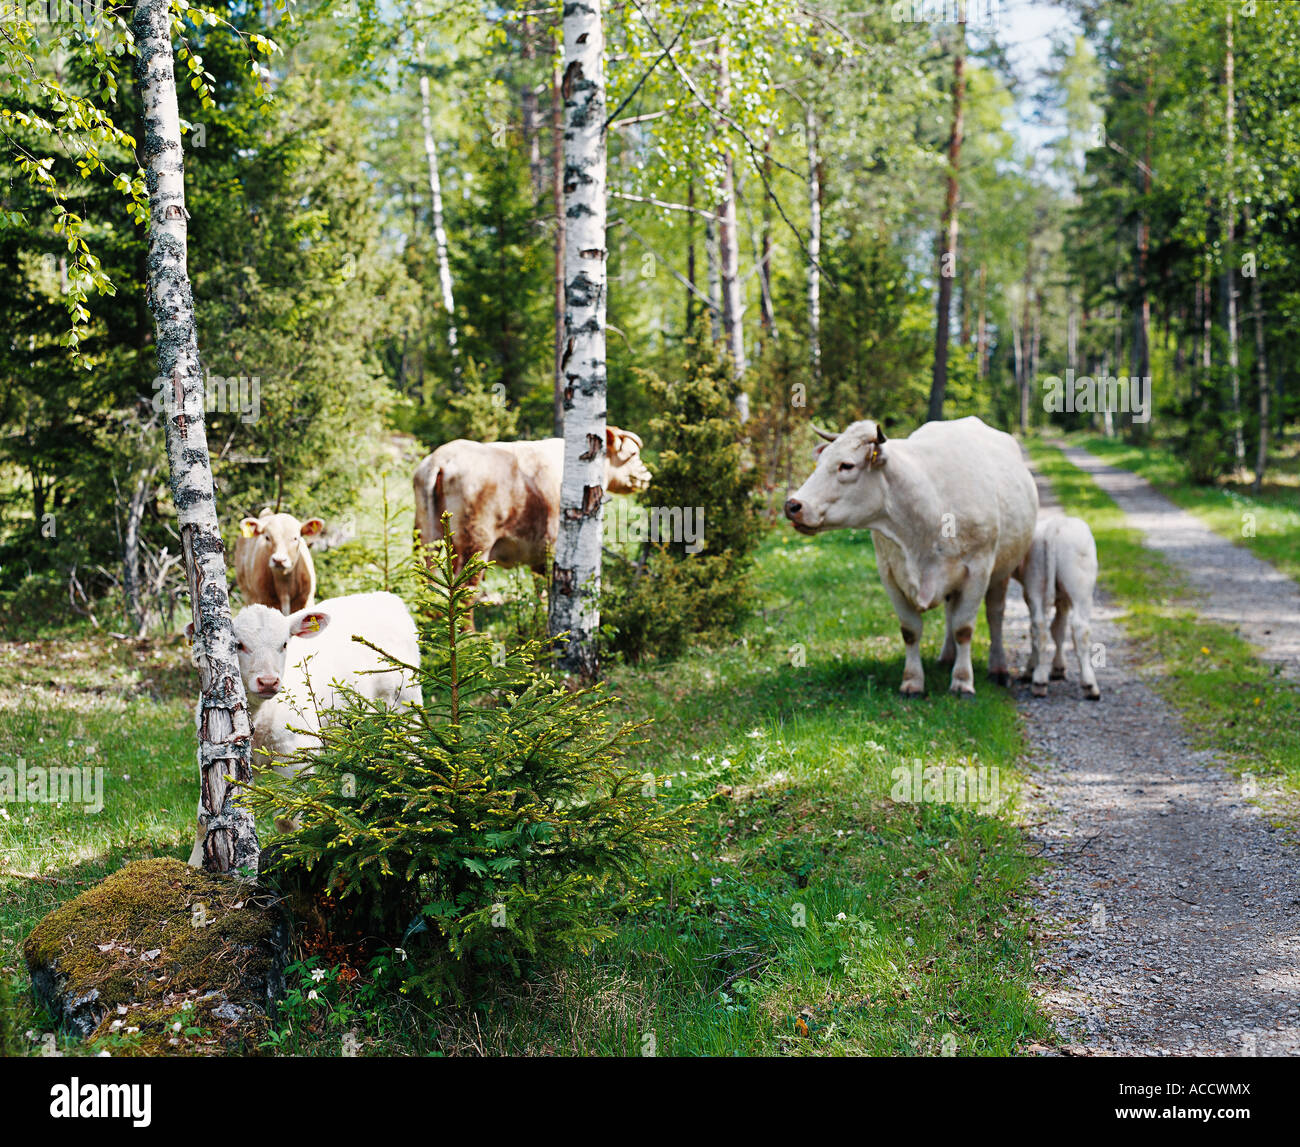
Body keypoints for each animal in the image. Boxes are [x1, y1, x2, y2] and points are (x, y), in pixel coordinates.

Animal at [187, 591, 421, 865]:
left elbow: (289, 819)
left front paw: (294, 854)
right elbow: (203, 816)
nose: (268, 681)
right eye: (239, 645)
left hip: (405, 703)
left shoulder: (296, 752)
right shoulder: (208, 750)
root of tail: (387, 597)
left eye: (284, 644)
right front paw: (194, 864)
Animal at [411, 427, 652, 578]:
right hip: (474, 547)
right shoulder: (551, 548)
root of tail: (440, 459)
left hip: (425, 538)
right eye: (632, 454)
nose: (647, 475)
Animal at [784, 416, 1038, 697]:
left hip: (1002, 571)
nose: (792, 505)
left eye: (846, 465)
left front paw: (962, 682)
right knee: (950, 610)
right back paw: (947, 657)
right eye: (819, 462)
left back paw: (998, 668)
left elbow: (964, 628)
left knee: (995, 615)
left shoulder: (978, 571)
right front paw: (912, 681)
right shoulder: (889, 573)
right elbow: (910, 630)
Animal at [1014, 516, 1101, 700]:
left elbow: (1058, 629)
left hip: (1040, 580)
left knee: (1039, 627)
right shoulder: (1063, 600)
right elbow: (1059, 629)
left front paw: (1056, 667)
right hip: (1078, 588)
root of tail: (1056, 525)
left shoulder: (1056, 598)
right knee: (1077, 629)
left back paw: (1040, 681)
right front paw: (1058, 668)